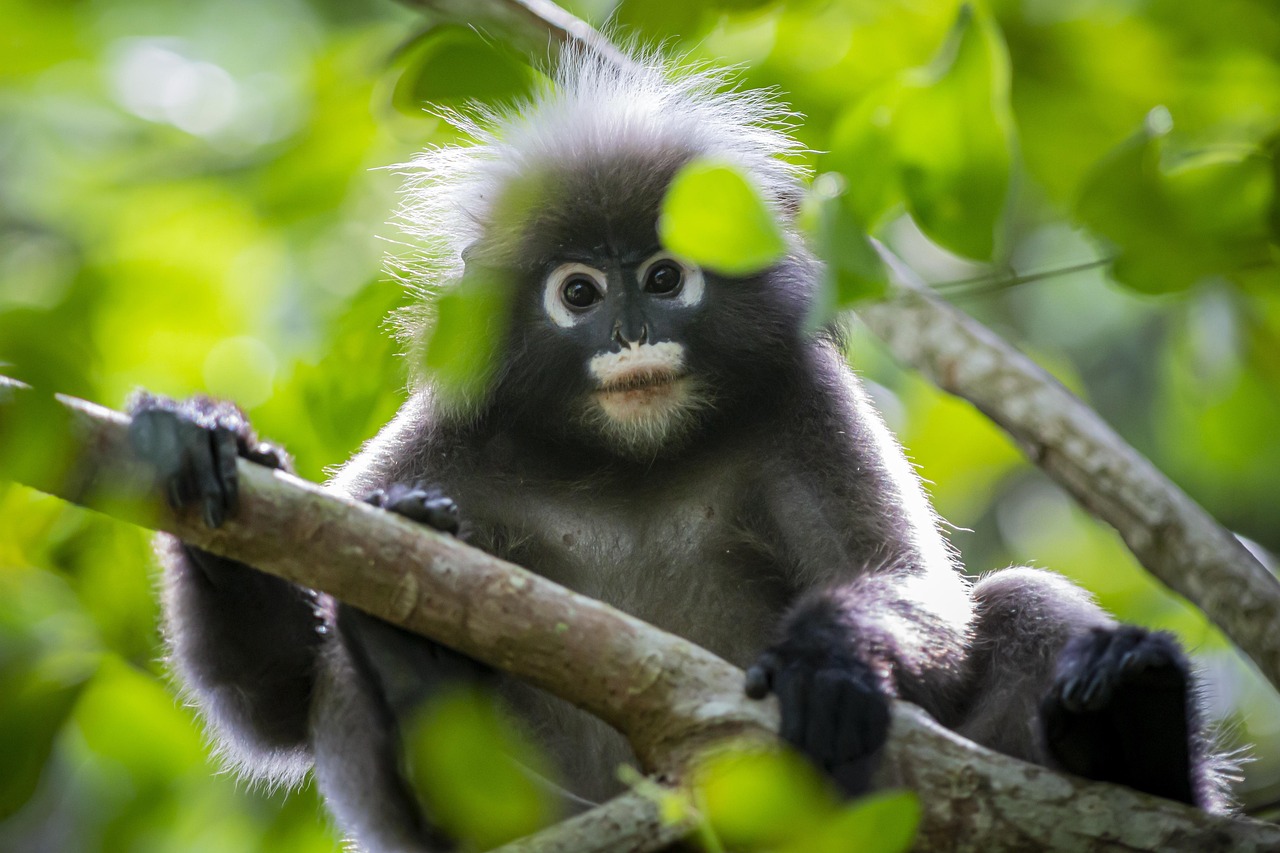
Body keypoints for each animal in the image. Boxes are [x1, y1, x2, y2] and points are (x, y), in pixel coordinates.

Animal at [126, 48, 1231, 852]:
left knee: (1019, 600)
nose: (628, 335)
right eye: (578, 292)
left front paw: (831, 652)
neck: (630, 462)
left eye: (663, 278)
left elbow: (911, 587)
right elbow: (278, 695)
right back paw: (412, 673)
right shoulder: (438, 443)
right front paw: (208, 441)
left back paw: (1131, 725)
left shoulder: (804, 397)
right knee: (350, 667)